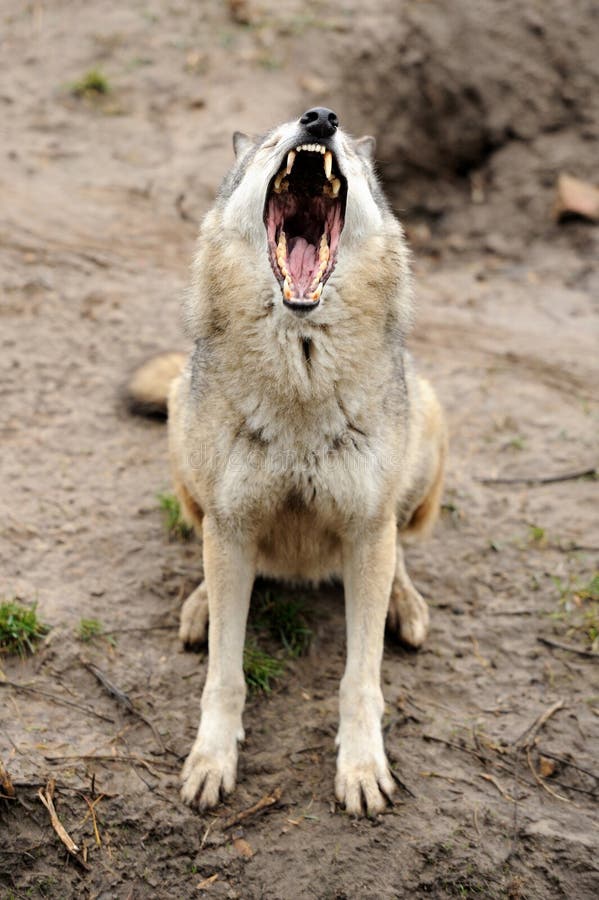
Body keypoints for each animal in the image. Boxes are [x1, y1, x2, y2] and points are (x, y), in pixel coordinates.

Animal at [128, 107, 447, 816]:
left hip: (427, 438)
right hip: (181, 440)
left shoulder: (366, 530)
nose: (320, 119)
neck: (301, 376)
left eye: (342, 141)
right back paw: (199, 606)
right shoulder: (233, 527)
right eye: (275, 140)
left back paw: (405, 605)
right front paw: (211, 761)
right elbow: (224, 674)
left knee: (401, 549)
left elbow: (361, 680)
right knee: (206, 553)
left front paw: (362, 769)